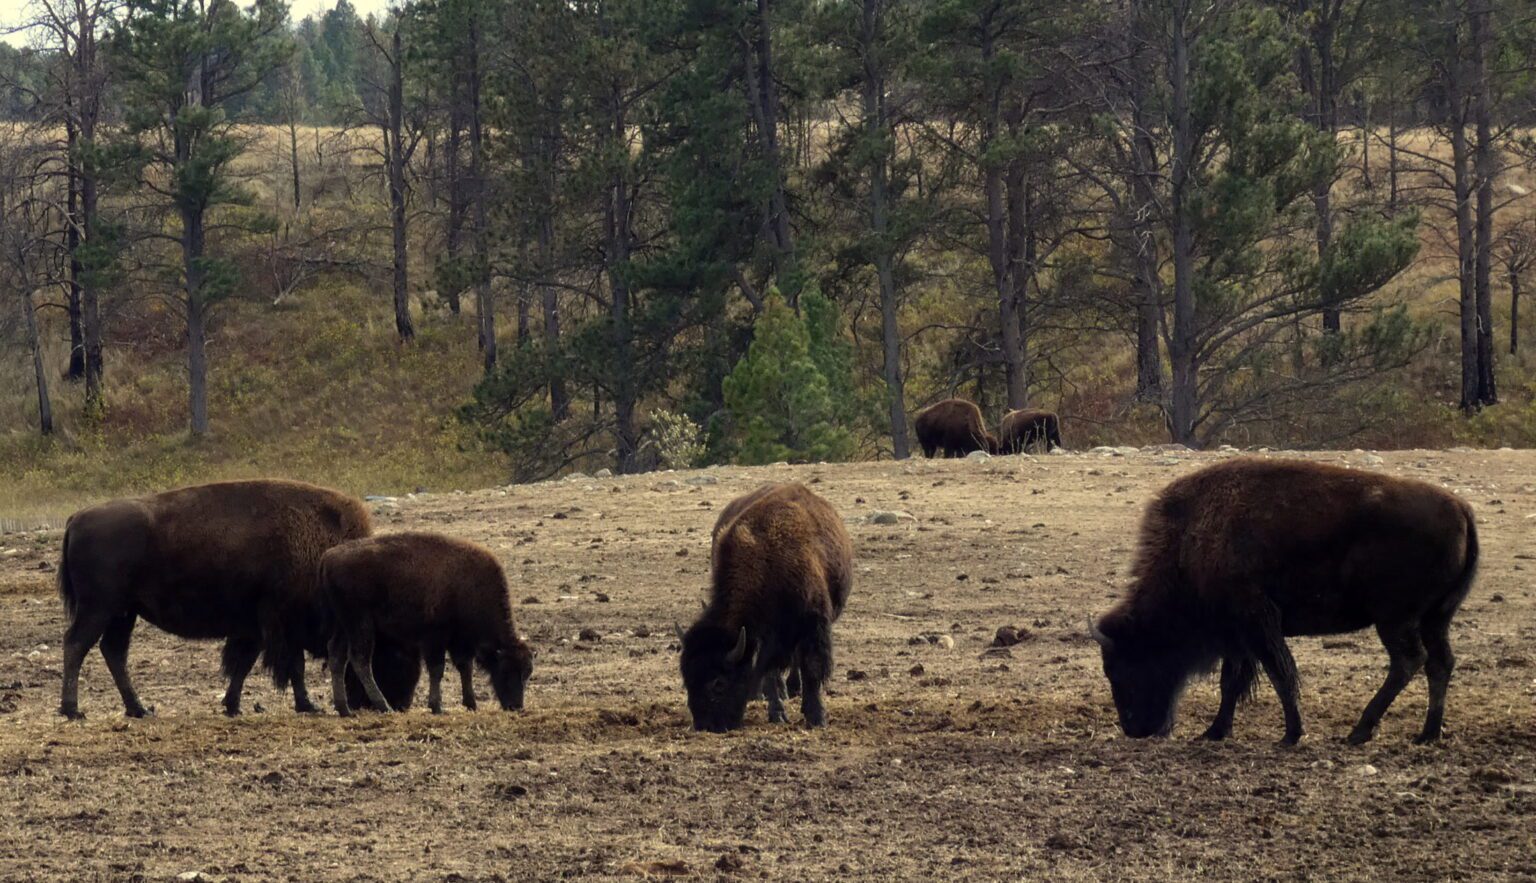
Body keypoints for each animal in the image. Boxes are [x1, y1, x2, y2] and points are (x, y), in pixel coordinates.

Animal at [57, 479, 374, 718]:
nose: (364, 702)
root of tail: (75, 518)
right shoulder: (279, 624)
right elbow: (290, 665)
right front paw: (307, 705)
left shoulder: (256, 627)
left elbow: (247, 664)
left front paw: (233, 705)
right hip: (99, 609)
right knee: (76, 644)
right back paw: (73, 710)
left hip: (122, 613)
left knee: (113, 652)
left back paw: (139, 709)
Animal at [322, 532, 534, 716]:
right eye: (506, 670)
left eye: (527, 673)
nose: (516, 706)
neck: (470, 586)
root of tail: (329, 557)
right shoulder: (435, 638)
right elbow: (437, 669)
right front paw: (437, 707)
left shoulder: (460, 641)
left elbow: (465, 668)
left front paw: (471, 704)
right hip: (360, 623)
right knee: (361, 659)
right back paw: (384, 706)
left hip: (344, 626)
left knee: (337, 656)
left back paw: (344, 709)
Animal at [678, 483, 853, 732]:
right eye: (687, 680)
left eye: (719, 683)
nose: (706, 725)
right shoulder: (766, 638)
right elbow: (769, 673)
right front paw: (777, 713)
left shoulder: (814, 622)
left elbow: (812, 667)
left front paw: (817, 717)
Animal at [1091, 458, 1478, 745]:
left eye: (1124, 666)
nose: (1135, 729)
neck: (1192, 542)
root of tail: (1461, 508)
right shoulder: (1237, 635)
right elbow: (1232, 682)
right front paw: (1214, 732)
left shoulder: (1257, 625)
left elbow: (1279, 674)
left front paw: (1291, 734)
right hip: (1434, 619)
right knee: (1439, 663)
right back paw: (1426, 734)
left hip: (1396, 620)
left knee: (1408, 662)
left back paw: (1359, 731)